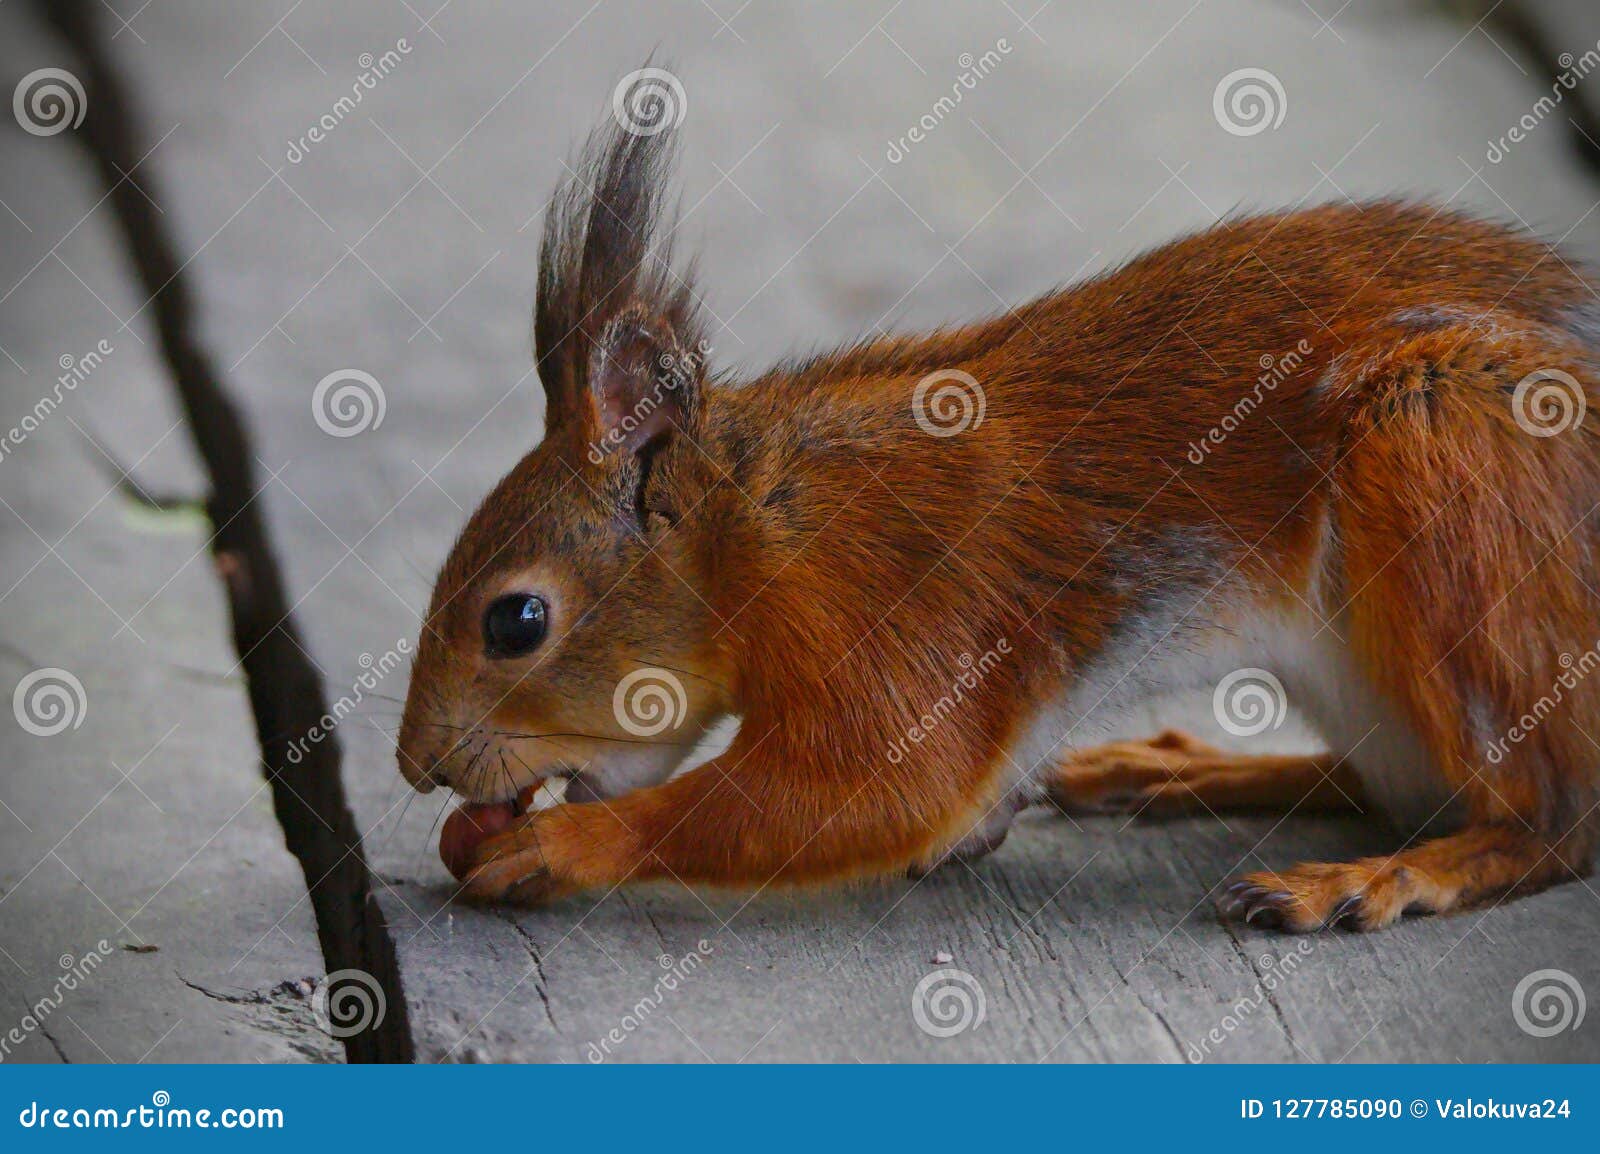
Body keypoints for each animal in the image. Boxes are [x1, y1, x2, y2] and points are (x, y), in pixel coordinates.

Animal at [396, 102, 1599, 933]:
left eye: (514, 620)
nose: (420, 767)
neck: (760, 525)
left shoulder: (898, 607)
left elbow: (878, 786)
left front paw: (567, 844)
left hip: (1448, 450)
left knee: (1550, 818)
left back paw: (1382, 874)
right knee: (1396, 785)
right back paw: (1181, 769)